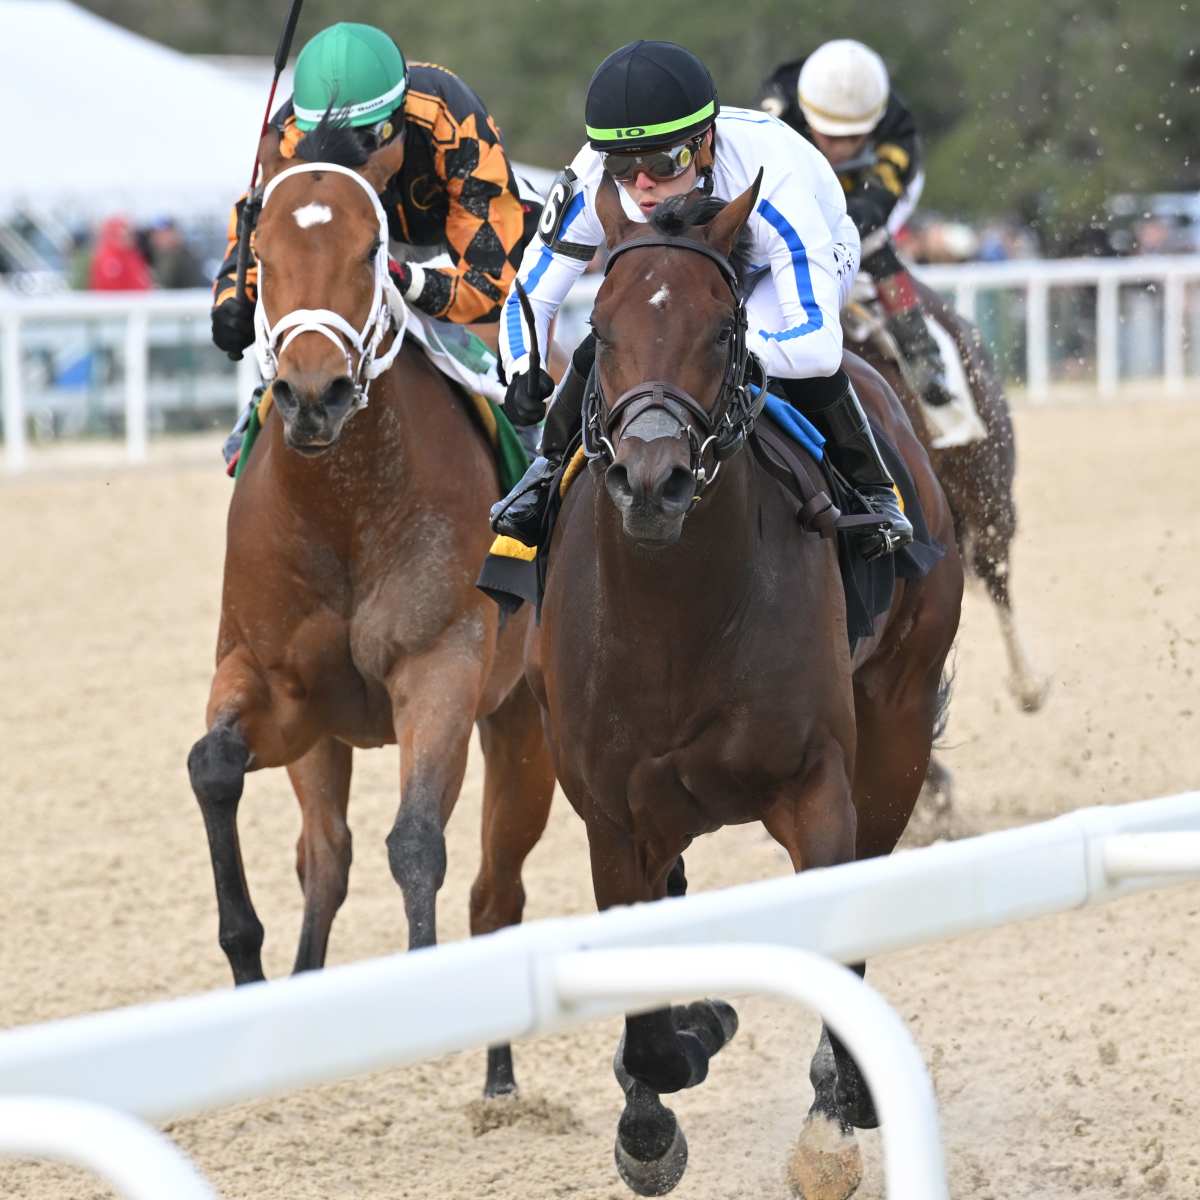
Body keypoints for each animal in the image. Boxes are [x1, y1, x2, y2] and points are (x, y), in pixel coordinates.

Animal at [186, 121, 555, 1099]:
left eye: (368, 252)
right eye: (261, 255)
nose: (314, 394)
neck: (344, 504)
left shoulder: (441, 670)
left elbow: (417, 843)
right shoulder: (275, 684)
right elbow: (214, 768)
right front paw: (249, 963)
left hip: (525, 720)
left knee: (496, 890)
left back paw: (500, 1078)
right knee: (327, 856)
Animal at [513, 176, 963, 1197]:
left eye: (723, 332)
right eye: (597, 328)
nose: (654, 480)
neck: (674, 617)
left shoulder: (817, 784)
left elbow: (836, 938)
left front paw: (834, 1119)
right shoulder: (614, 812)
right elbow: (645, 996)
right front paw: (654, 1106)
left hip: (898, 723)